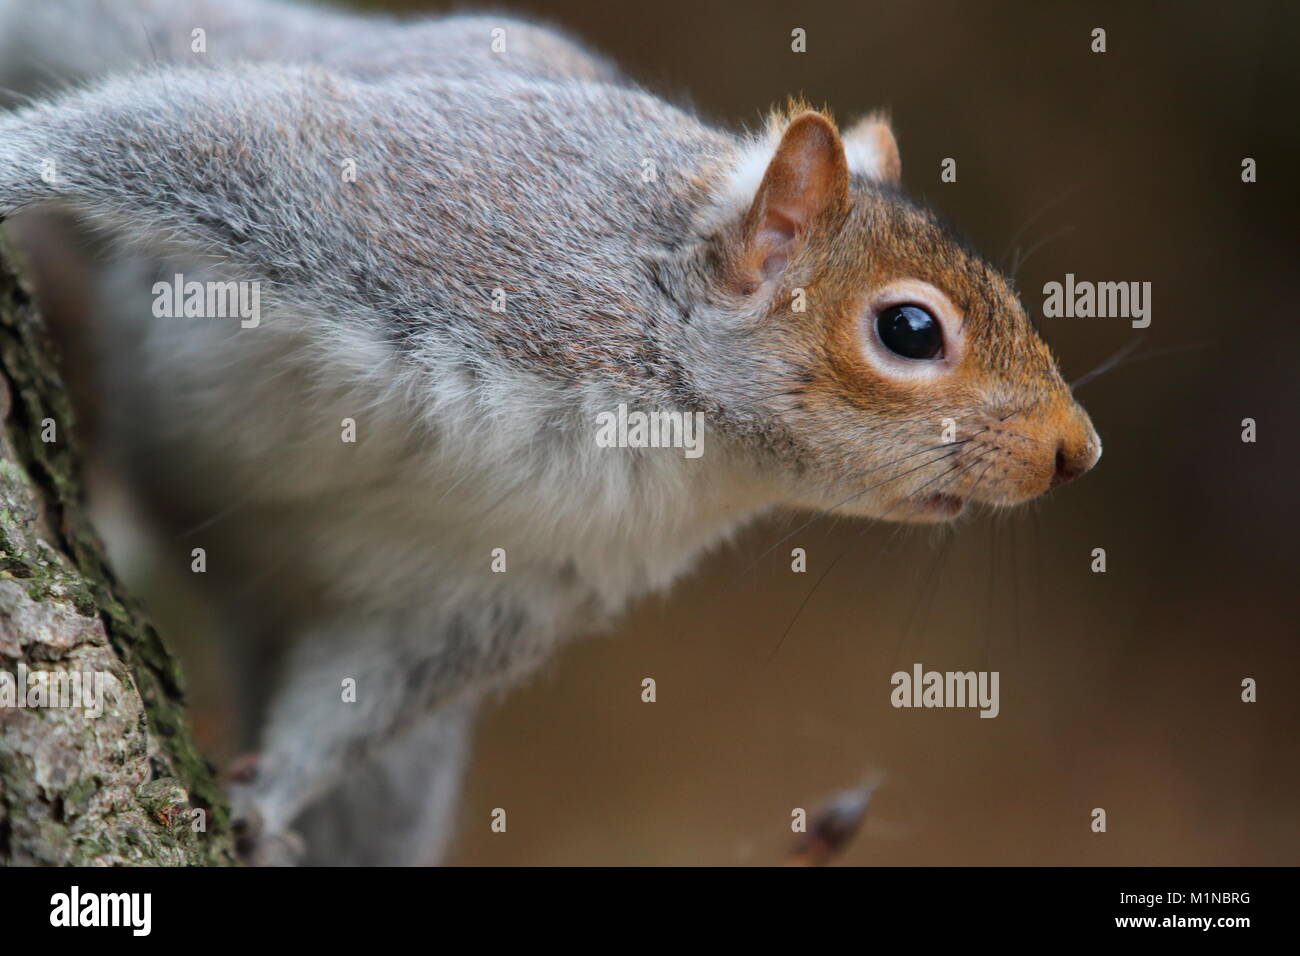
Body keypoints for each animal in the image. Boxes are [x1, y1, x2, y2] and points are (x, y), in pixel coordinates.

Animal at [0, 0, 1100, 865]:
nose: (1075, 452)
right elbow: (226, 140)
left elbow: (361, 697)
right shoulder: (448, 225)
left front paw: (267, 801)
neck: (682, 423)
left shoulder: (503, 591)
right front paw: (10, 173)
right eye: (909, 330)